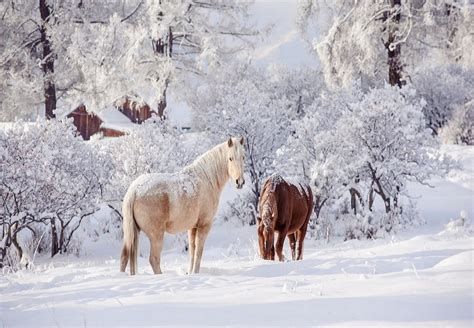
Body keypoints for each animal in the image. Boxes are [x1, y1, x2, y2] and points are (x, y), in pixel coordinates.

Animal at [119, 136, 244, 274]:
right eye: (230, 158)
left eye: (243, 157)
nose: (240, 182)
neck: (207, 179)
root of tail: (135, 190)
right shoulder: (204, 225)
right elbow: (198, 252)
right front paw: (195, 272)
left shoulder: (192, 227)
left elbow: (192, 252)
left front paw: (190, 273)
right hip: (156, 235)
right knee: (154, 259)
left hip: (133, 232)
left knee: (124, 256)